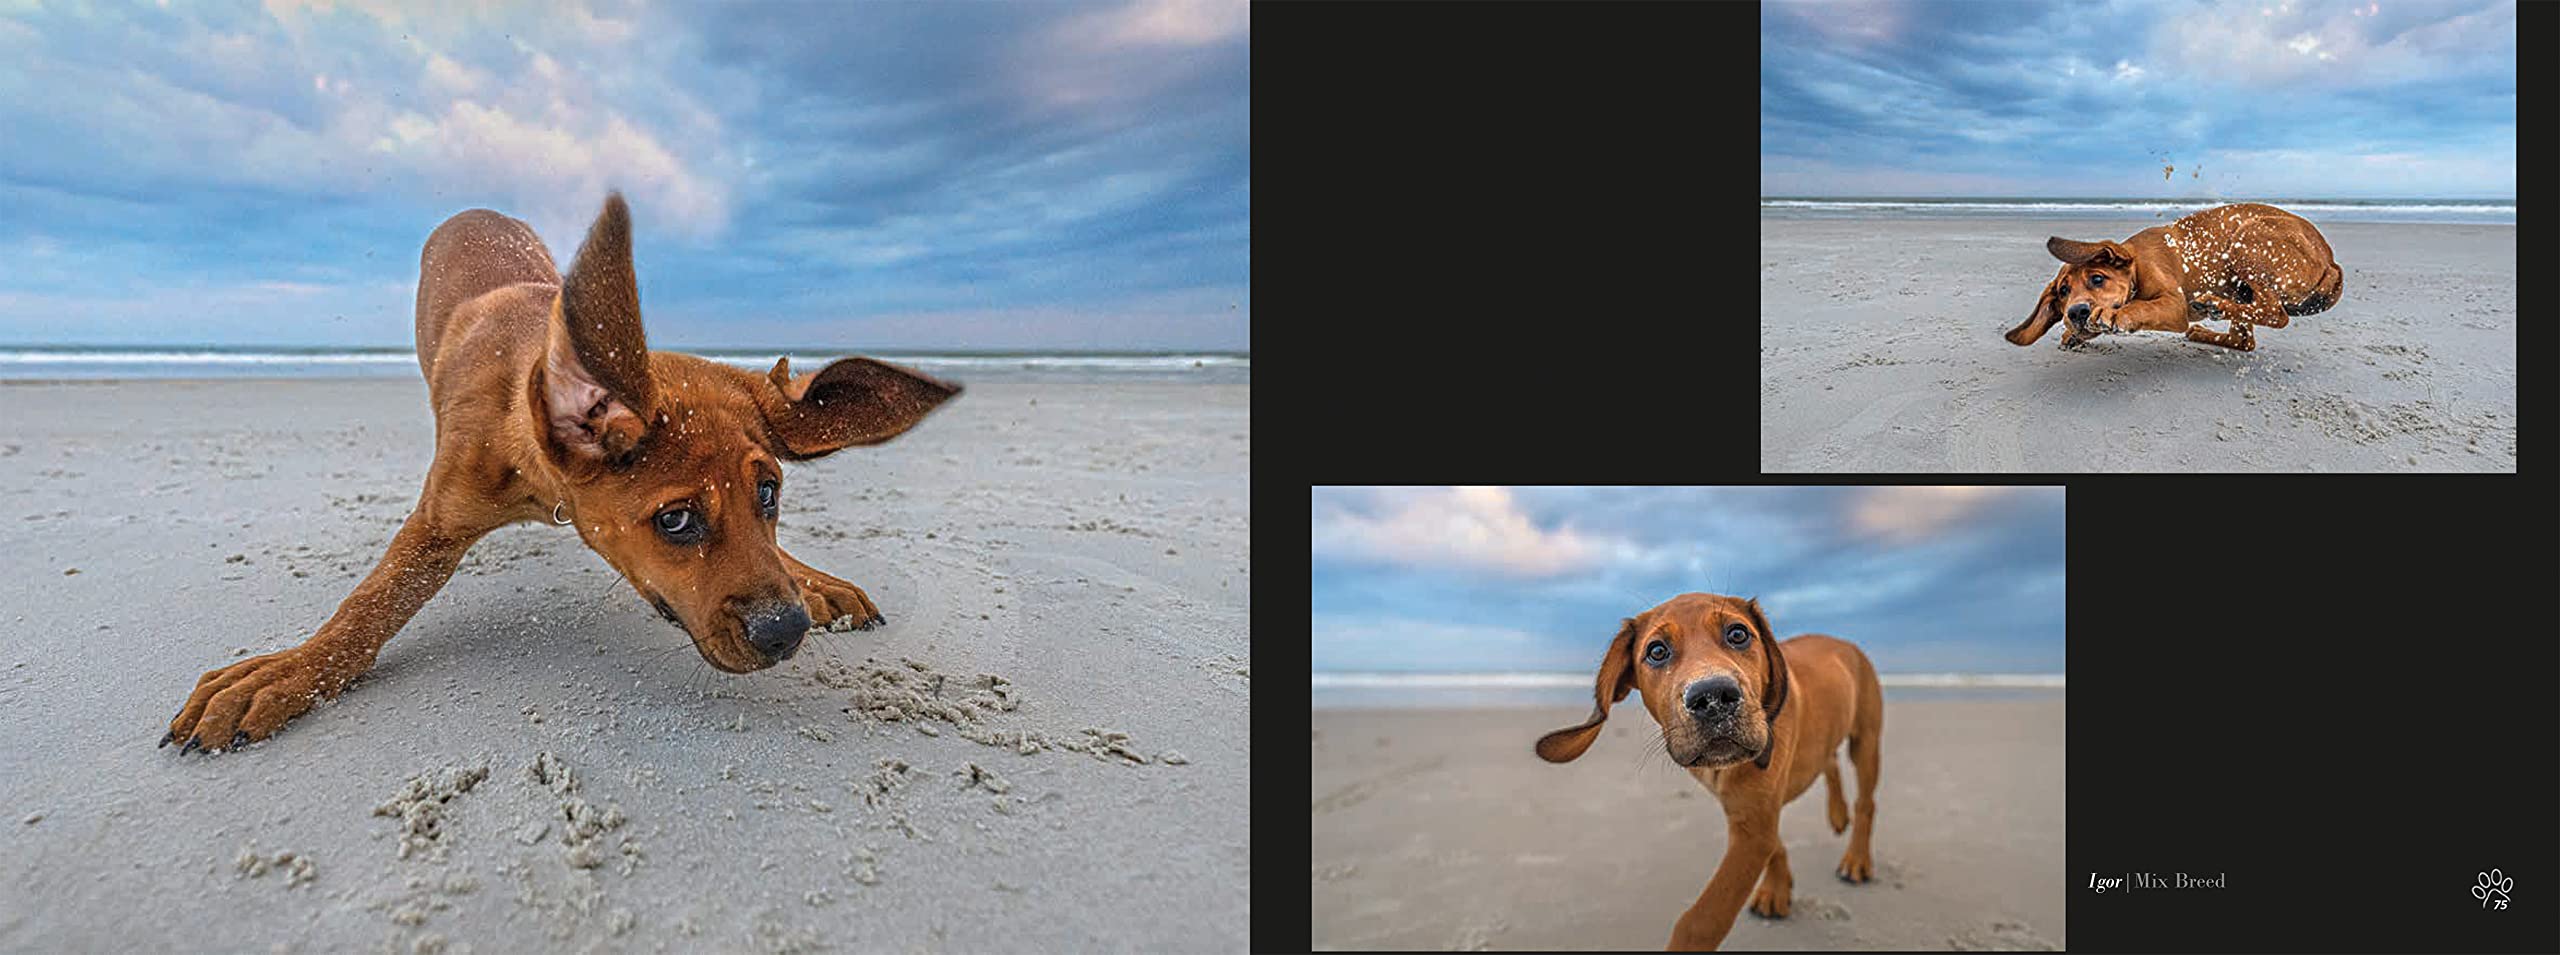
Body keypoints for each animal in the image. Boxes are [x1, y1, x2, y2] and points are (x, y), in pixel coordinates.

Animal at [162, 189, 962, 752]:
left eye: (769, 493)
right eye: (676, 519)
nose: (785, 633)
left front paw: (810, 577)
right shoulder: (435, 526)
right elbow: (366, 610)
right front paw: (291, 670)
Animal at [1525, 591, 1894, 947]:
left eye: (1738, 634)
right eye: (1657, 651)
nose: (1713, 697)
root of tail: (1842, 642)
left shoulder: (1753, 830)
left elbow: (1701, 921)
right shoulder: (1751, 816)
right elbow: (1775, 843)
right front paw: (1777, 888)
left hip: (1866, 740)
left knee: (1866, 802)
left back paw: (1857, 858)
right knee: (1829, 761)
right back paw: (1838, 815)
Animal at [2007, 202, 2344, 350]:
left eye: (2098, 279)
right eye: (2063, 292)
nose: (2077, 312)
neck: (2136, 265)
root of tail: (2331, 261)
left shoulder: (2173, 305)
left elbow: (2141, 307)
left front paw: (2114, 315)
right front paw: (2073, 334)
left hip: (2247, 238)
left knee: (2276, 313)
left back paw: (2214, 307)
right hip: (2241, 283)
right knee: (2245, 338)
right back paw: (2209, 330)